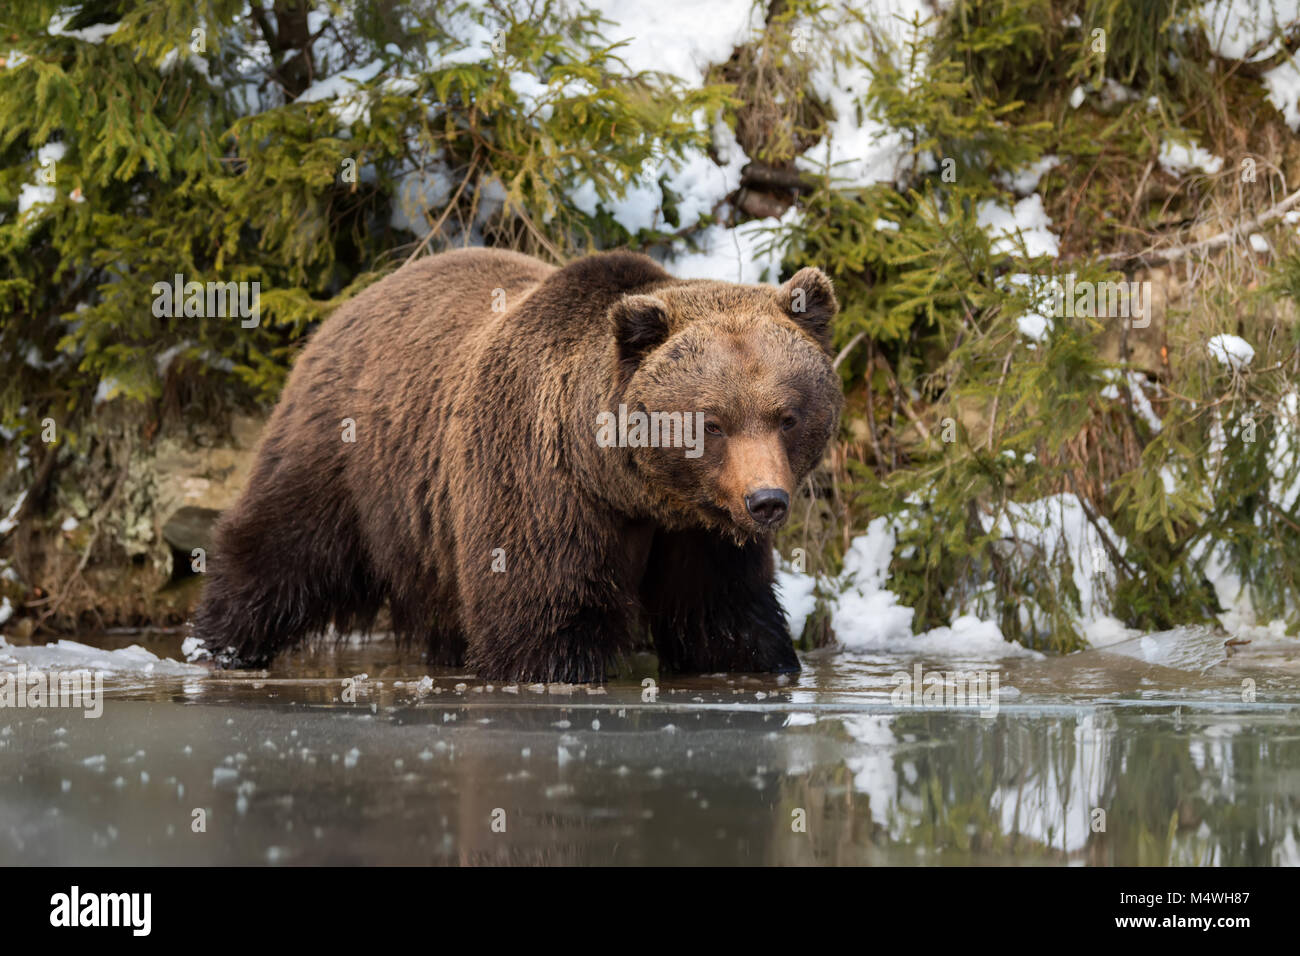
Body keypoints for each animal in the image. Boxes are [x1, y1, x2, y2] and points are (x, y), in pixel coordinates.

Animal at [190, 248, 843, 682]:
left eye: (787, 416)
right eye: (712, 423)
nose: (766, 501)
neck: (626, 486)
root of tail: (349, 307)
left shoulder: (699, 533)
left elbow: (723, 617)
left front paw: (762, 665)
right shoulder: (538, 481)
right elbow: (544, 622)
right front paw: (562, 669)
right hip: (344, 456)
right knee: (280, 549)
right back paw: (217, 645)